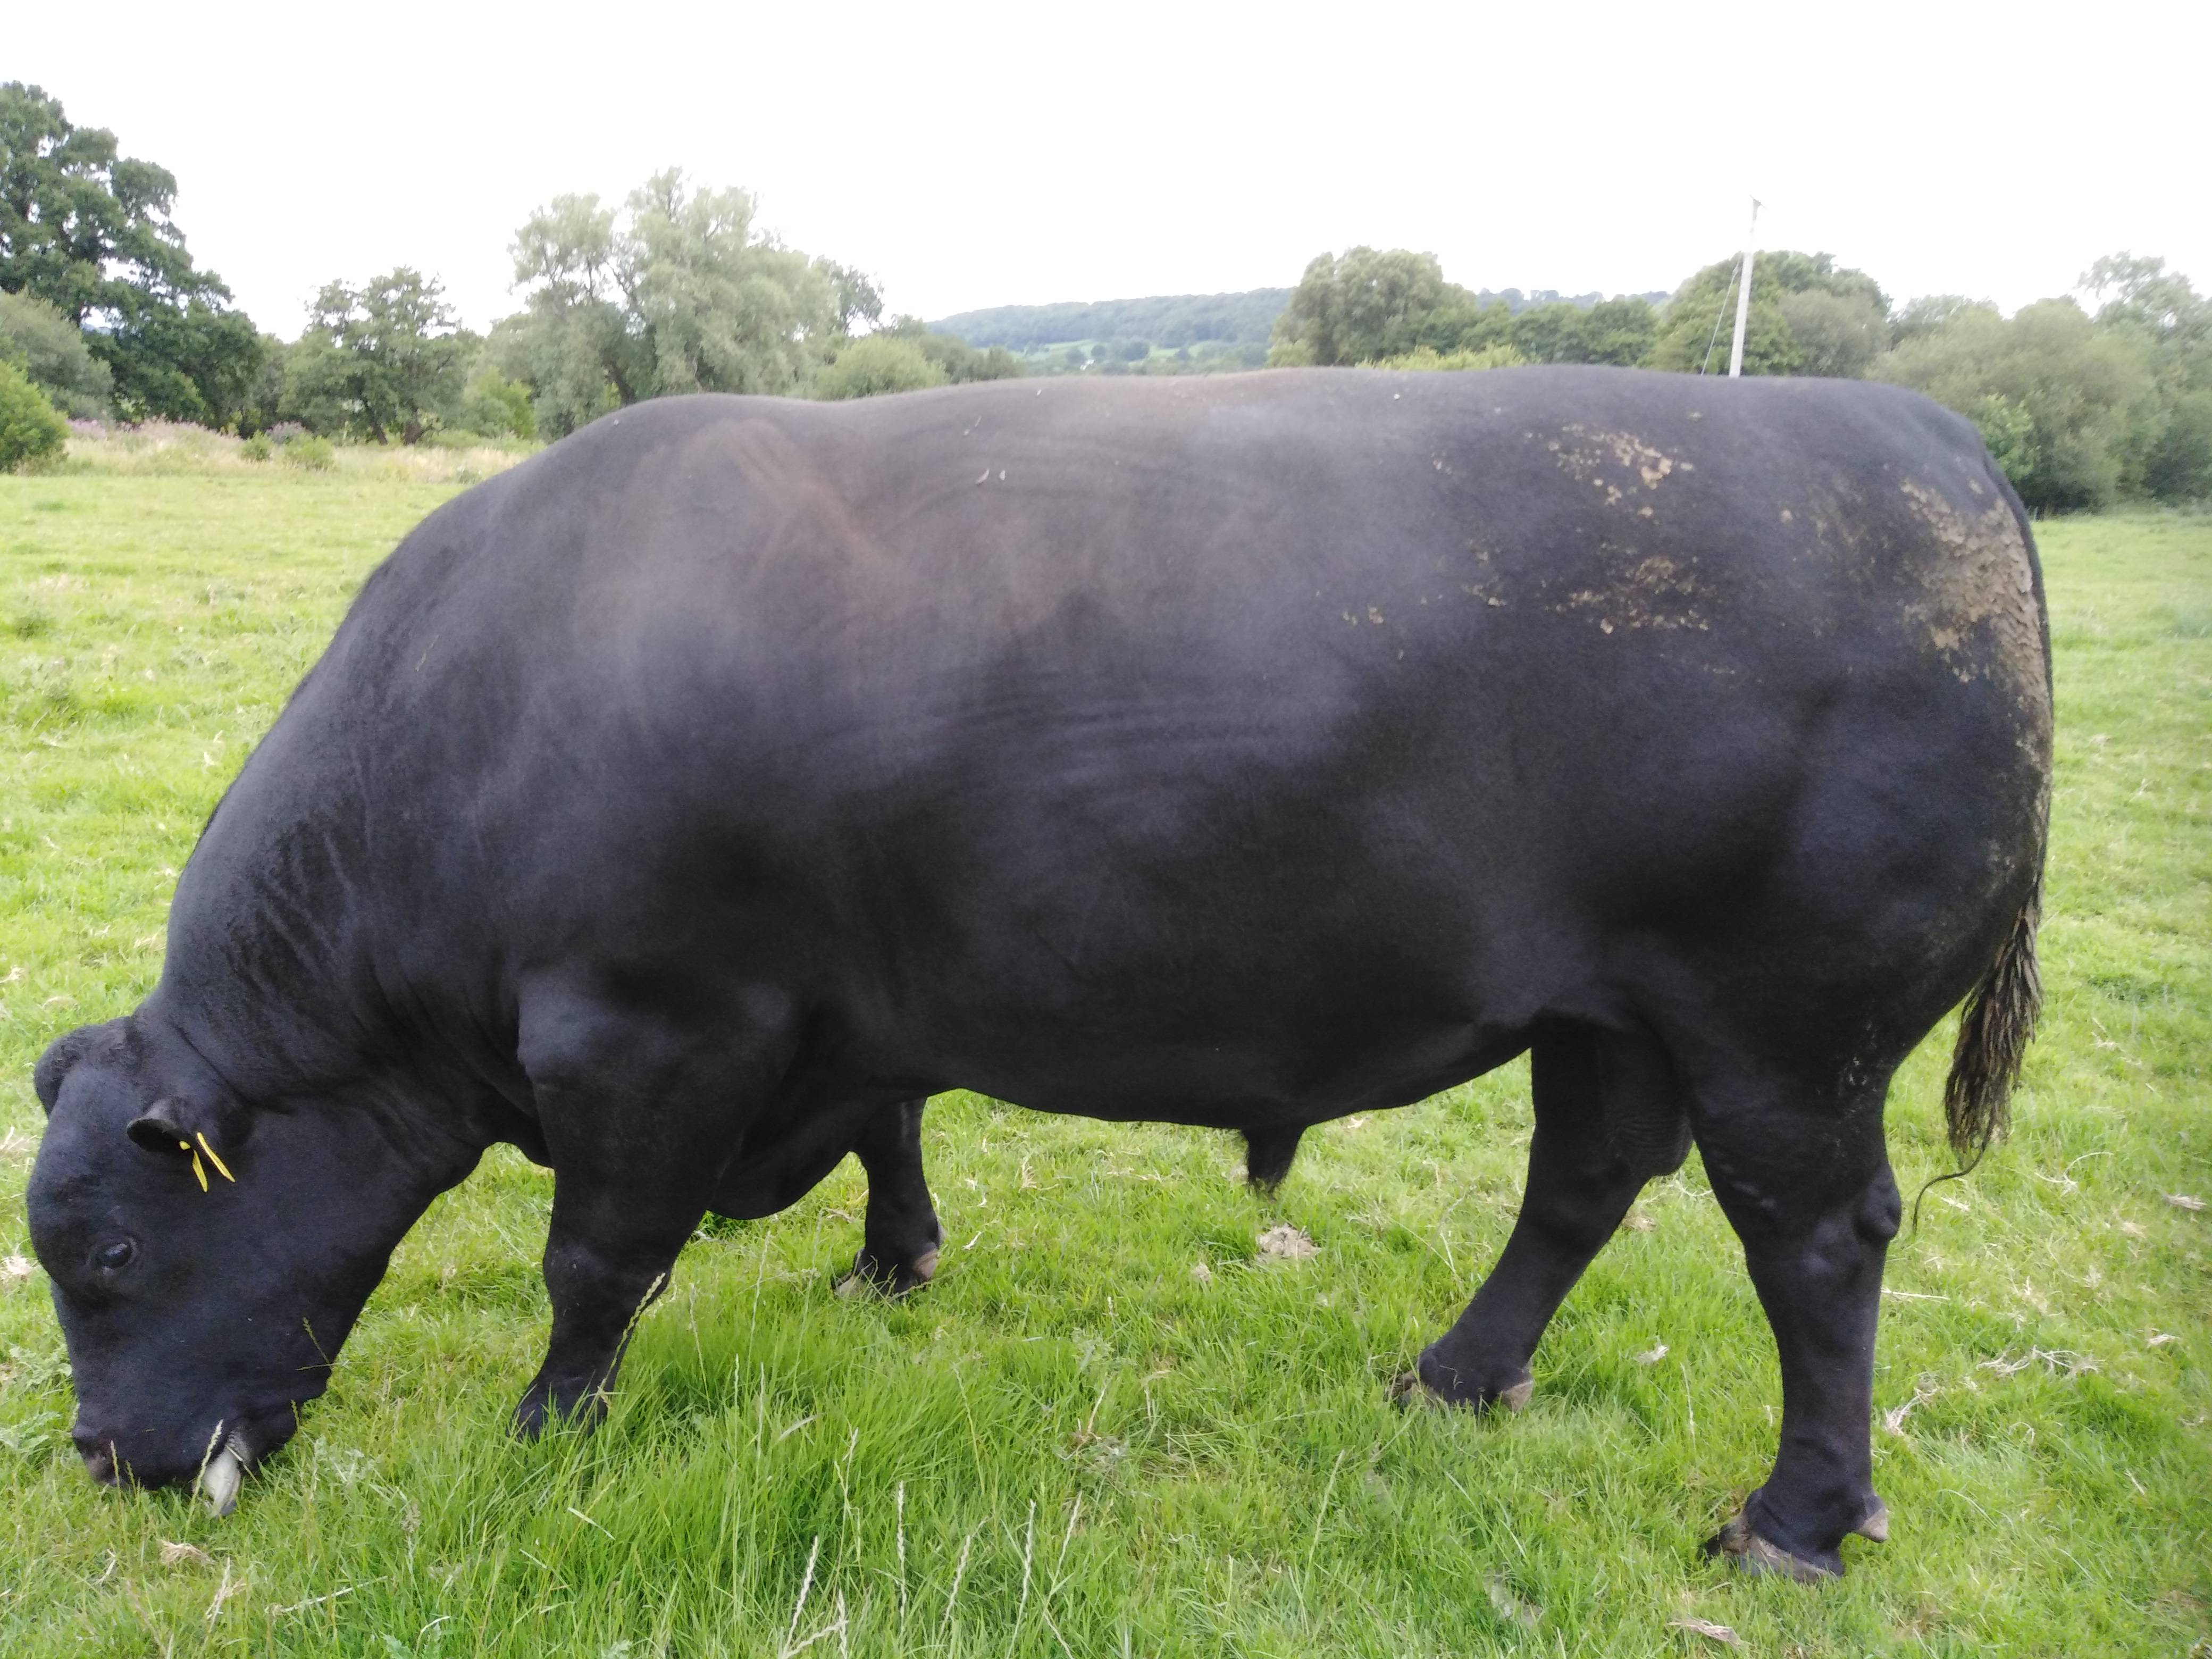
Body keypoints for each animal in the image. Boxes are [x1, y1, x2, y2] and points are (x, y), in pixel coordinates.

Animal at [29, 367, 2049, 1580]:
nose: (107, 1461)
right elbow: (893, 1125)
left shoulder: (648, 1027)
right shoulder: (846, 1000)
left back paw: (1794, 1517)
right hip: (1611, 1010)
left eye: (108, 1257)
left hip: (1787, 1030)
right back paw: (1456, 1379)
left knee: (1814, 1247)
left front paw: (546, 1427)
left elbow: (594, 1259)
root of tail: (1926, 438)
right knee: (1581, 1184)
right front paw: (893, 1261)